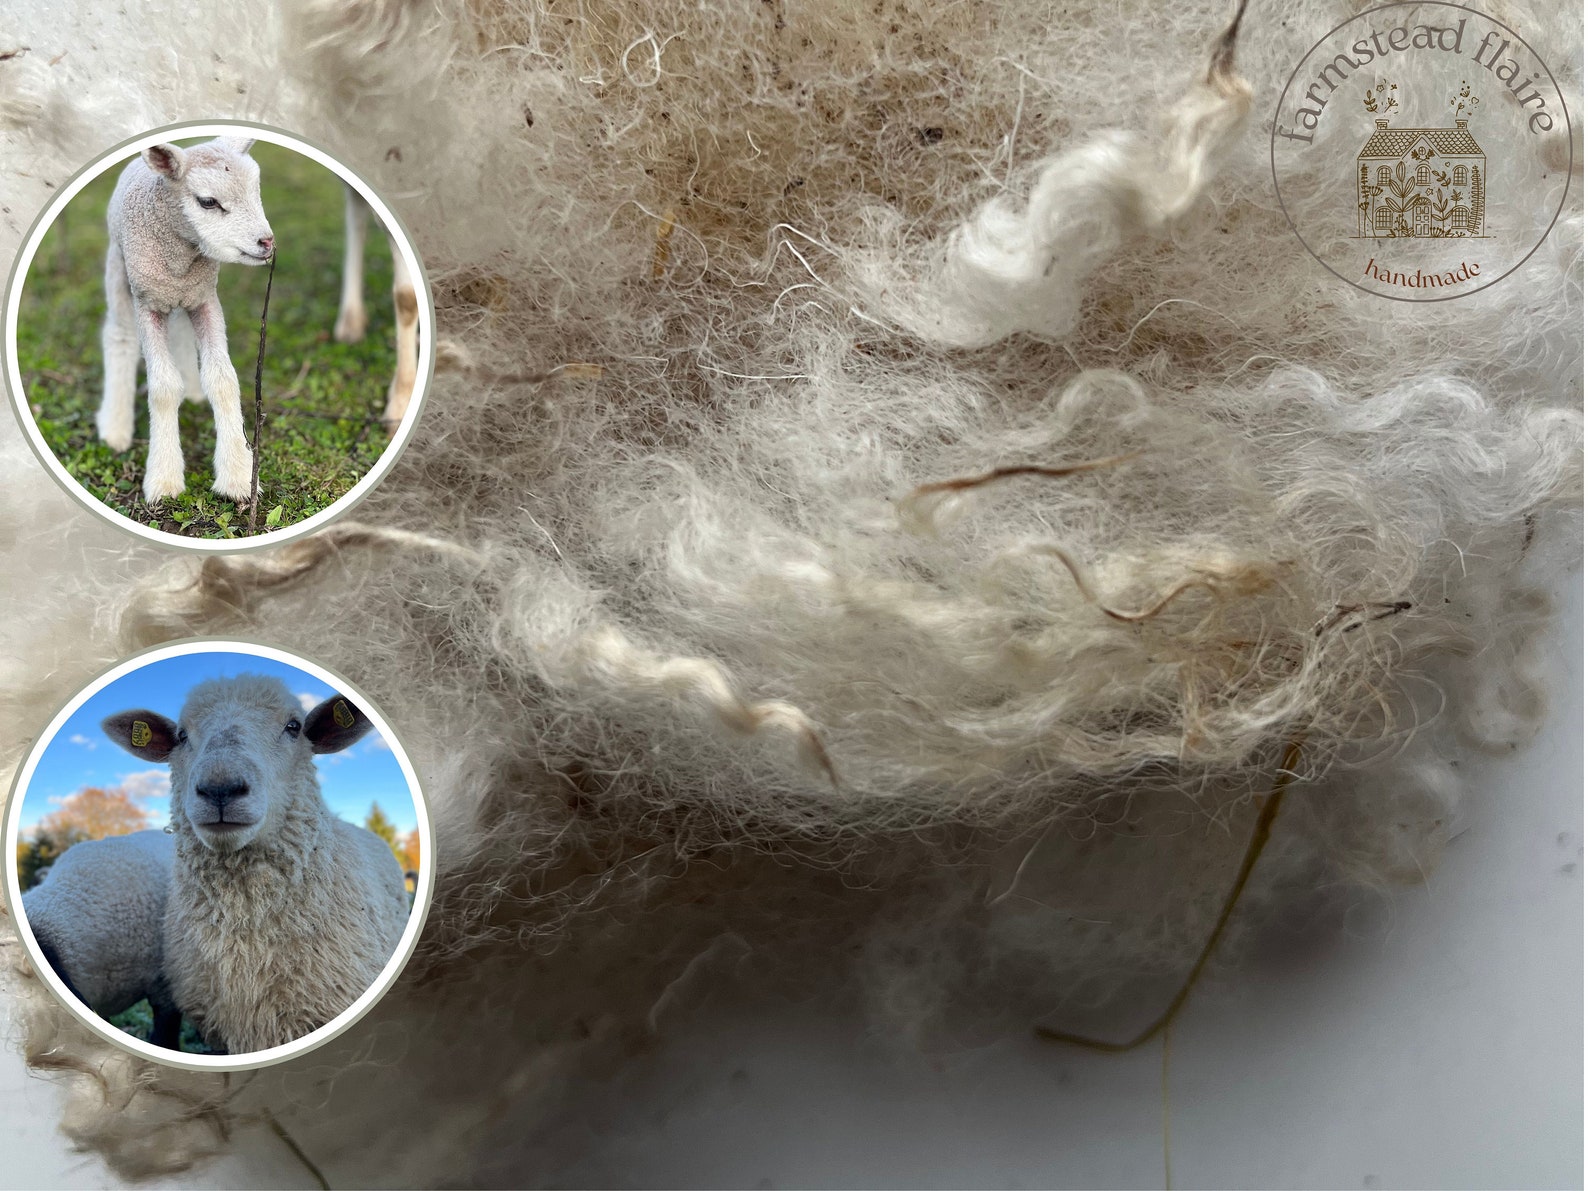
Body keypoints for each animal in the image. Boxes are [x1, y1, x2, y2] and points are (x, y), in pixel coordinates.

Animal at [96, 136, 274, 504]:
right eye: (208, 202)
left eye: (256, 190)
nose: (266, 242)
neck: (179, 257)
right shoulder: (147, 302)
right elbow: (163, 387)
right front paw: (164, 482)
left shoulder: (204, 297)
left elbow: (223, 379)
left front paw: (238, 477)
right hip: (120, 269)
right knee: (119, 335)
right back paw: (114, 429)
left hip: (184, 299)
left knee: (179, 332)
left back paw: (191, 389)